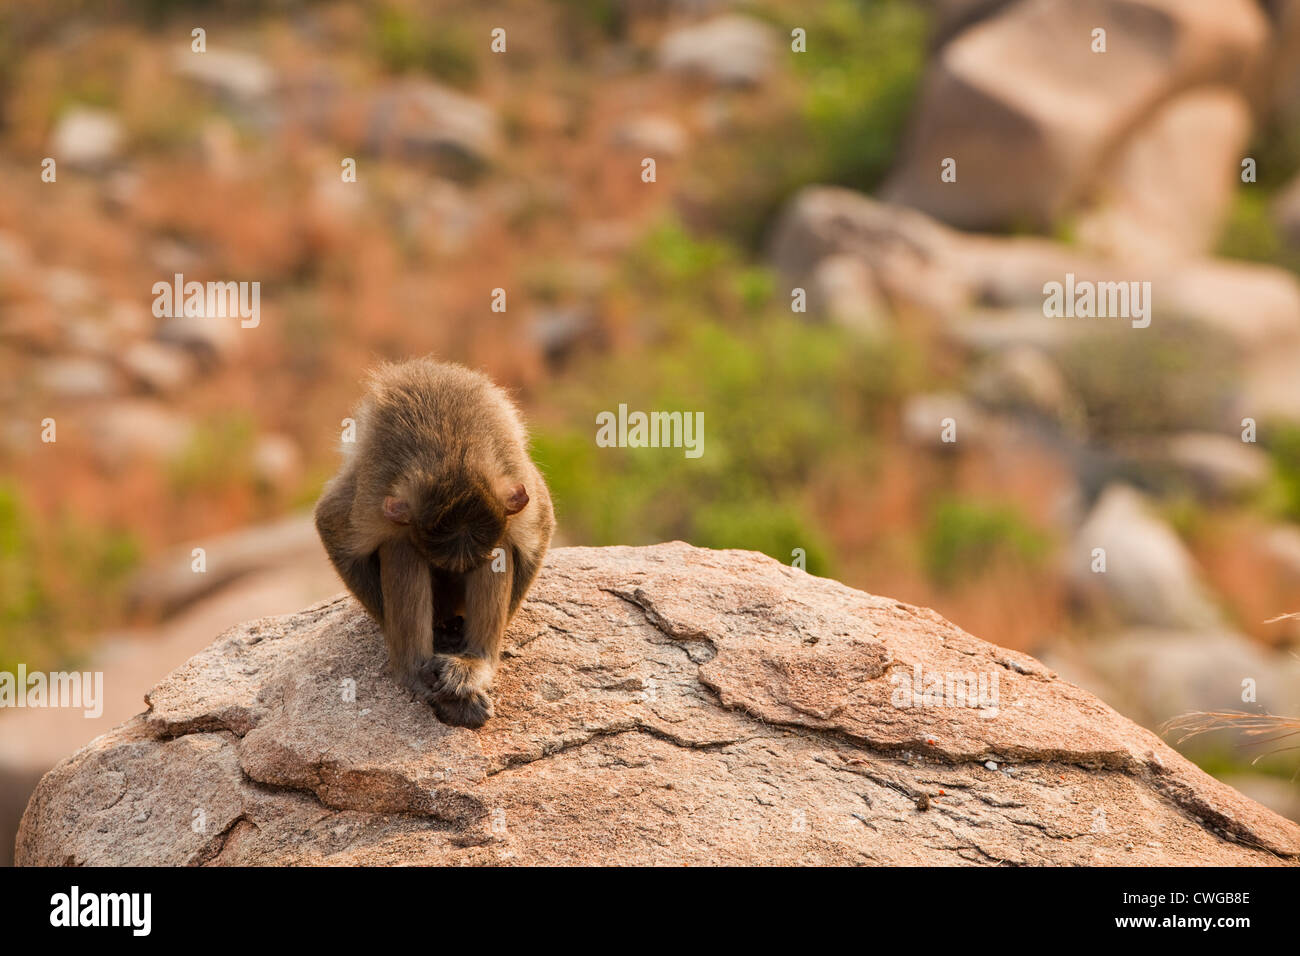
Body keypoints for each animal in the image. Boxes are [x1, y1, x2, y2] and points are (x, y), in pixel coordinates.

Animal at [314, 358, 555, 728]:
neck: (455, 458)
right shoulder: (373, 498)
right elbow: (332, 527)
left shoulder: (518, 483)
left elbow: (537, 535)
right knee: (400, 546)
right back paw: (416, 671)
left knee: (498, 548)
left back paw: (475, 662)